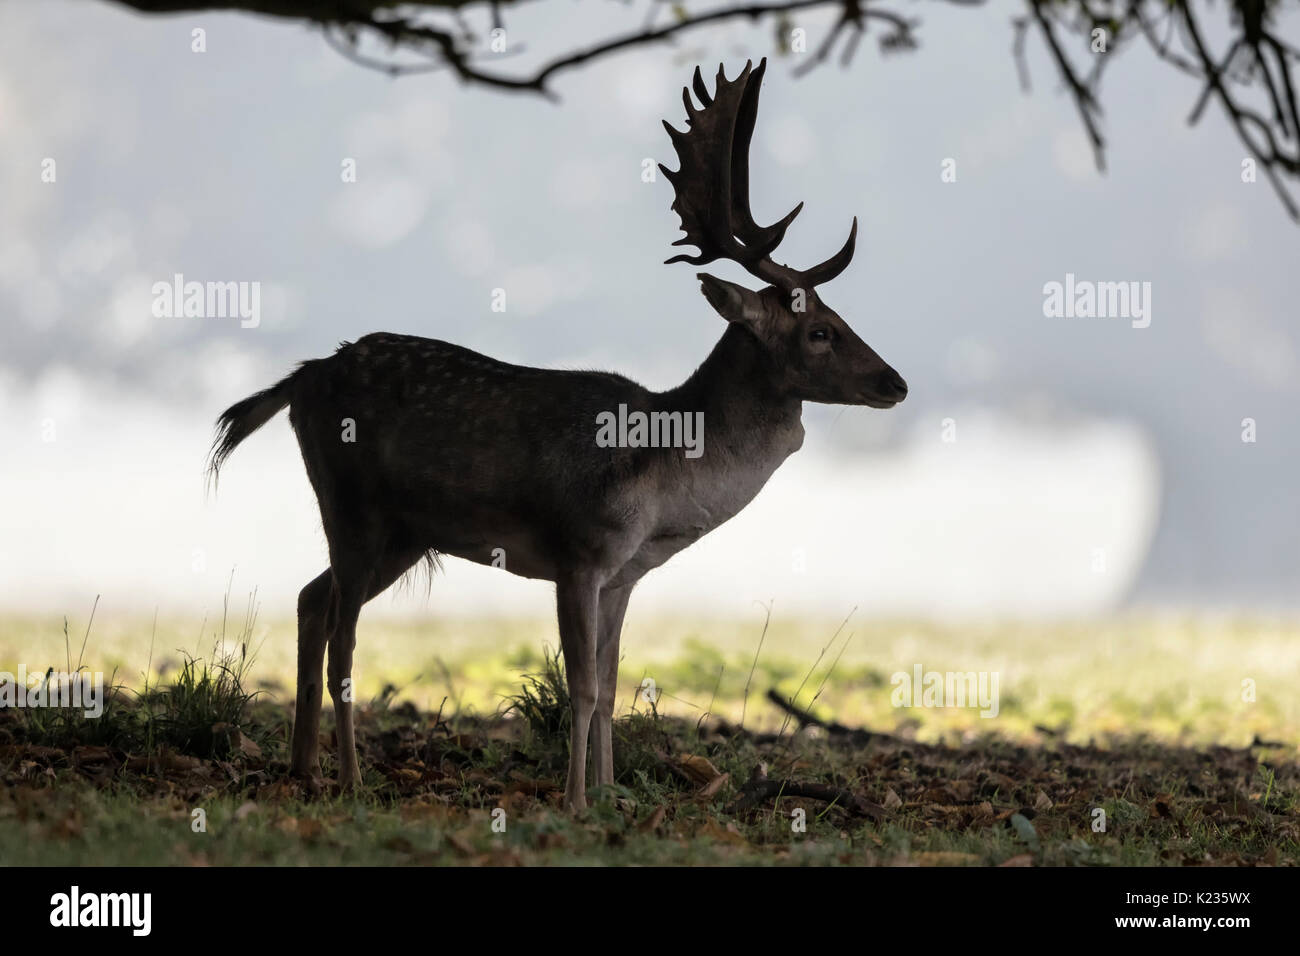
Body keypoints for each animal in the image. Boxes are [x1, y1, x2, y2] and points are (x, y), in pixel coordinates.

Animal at [206, 58, 907, 812]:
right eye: (820, 330)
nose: (895, 382)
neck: (664, 477)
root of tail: (301, 377)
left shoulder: (625, 574)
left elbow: (614, 685)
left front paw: (609, 793)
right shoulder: (580, 550)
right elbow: (584, 686)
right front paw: (573, 800)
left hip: (404, 532)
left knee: (311, 598)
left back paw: (304, 768)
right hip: (353, 504)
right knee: (342, 636)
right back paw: (352, 779)